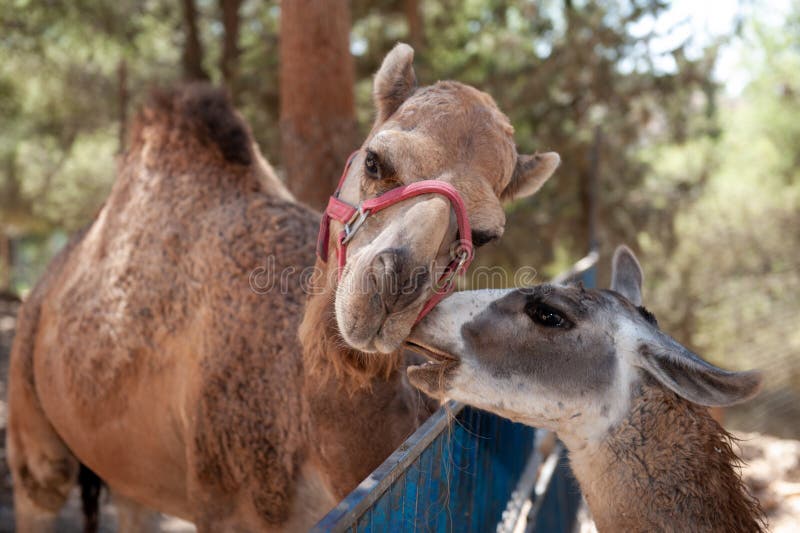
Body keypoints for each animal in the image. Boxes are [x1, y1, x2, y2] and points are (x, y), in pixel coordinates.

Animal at [6, 43, 561, 532]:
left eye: (485, 236)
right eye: (375, 161)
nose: (391, 287)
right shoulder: (226, 510)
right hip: (31, 418)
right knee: (40, 487)